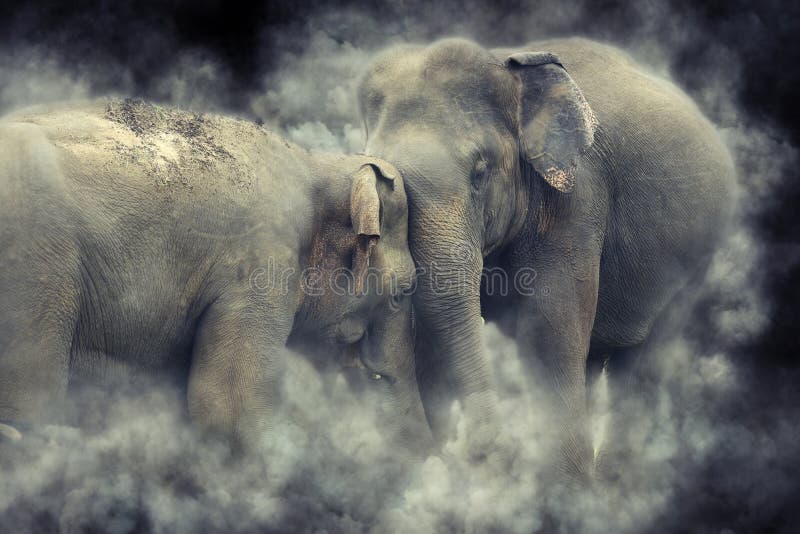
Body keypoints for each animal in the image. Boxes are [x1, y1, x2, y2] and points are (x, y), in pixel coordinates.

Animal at [357, 37, 736, 479]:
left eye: (480, 171)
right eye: (387, 183)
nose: (491, 452)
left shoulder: (576, 198)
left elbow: (548, 330)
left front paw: (562, 490)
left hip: (698, 259)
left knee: (648, 359)